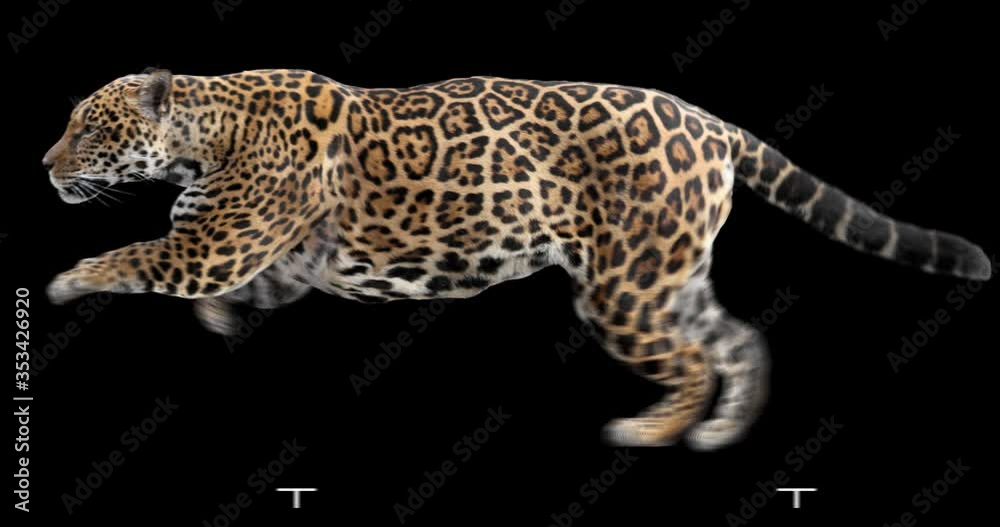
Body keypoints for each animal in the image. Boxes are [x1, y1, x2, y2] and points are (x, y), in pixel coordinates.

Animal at [42, 69, 991, 450]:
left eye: (88, 127)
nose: (44, 166)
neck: (203, 129)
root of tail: (713, 123)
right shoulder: (272, 256)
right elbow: (225, 282)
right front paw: (216, 319)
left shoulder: (213, 243)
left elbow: (131, 252)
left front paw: (62, 282)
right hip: (667, 273)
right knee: (739, 340)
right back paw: (722, 430)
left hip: (625, 287)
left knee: (691, 358)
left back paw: (652, 430)